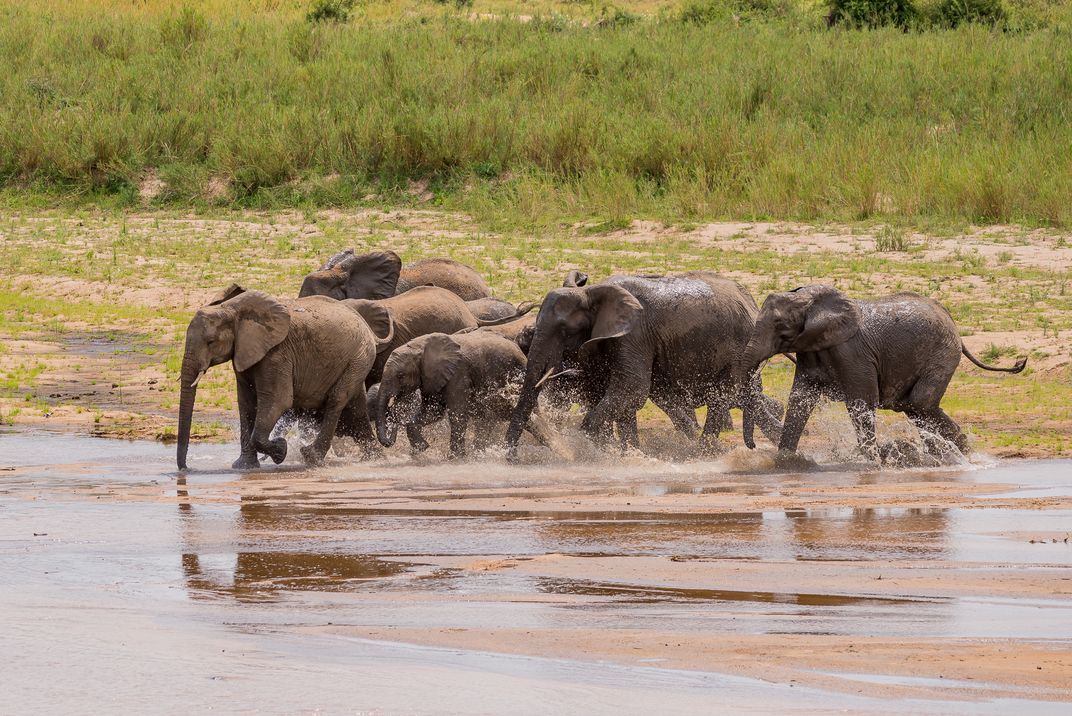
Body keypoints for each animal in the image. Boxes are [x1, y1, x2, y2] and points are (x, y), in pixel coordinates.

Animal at [176, 288, 394, 470]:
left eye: (211, 342)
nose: (186, 469)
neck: (230, 309)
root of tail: (369, 330)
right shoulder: (244, 353)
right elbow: (246, 404)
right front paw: (243, 467)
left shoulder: (277, 354)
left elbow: (278, 401)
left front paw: (281, 450)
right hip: (357, 360)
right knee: (356, 409)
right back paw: (375, 459)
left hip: (359, 356)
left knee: (337, 400)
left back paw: (312, 457)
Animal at [372, 332, 561, 458]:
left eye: (400, 376)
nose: (394, 421)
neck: (419, 346)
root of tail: (522, 352)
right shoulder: (431, 379)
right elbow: (432, 412)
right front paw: (422, 447)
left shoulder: (458, 375)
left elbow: (457, 413)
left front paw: (455, 458)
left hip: (518, 377)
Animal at [505, 272, 785, 457]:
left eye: (564, 330)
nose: (508, 457)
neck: (592, 291)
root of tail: (750, 299)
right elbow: (619, 396)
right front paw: (630, 453)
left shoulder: (634, 334)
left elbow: (632, 388)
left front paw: (602, 450)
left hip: (739, 346)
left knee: (723, 396)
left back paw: (705, 451)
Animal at [735, 286, 1026, 461]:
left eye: (780, 327)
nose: (753, 447)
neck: (811, 300)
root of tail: (952, 321)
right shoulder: (811, 350)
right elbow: (799, 400)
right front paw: (786, 462)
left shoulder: (851, 353)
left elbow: (861, 403)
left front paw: (871, 460)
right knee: (916, 409)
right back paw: (952, 455)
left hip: (942, 353)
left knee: (920, 404)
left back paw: (957, 456)